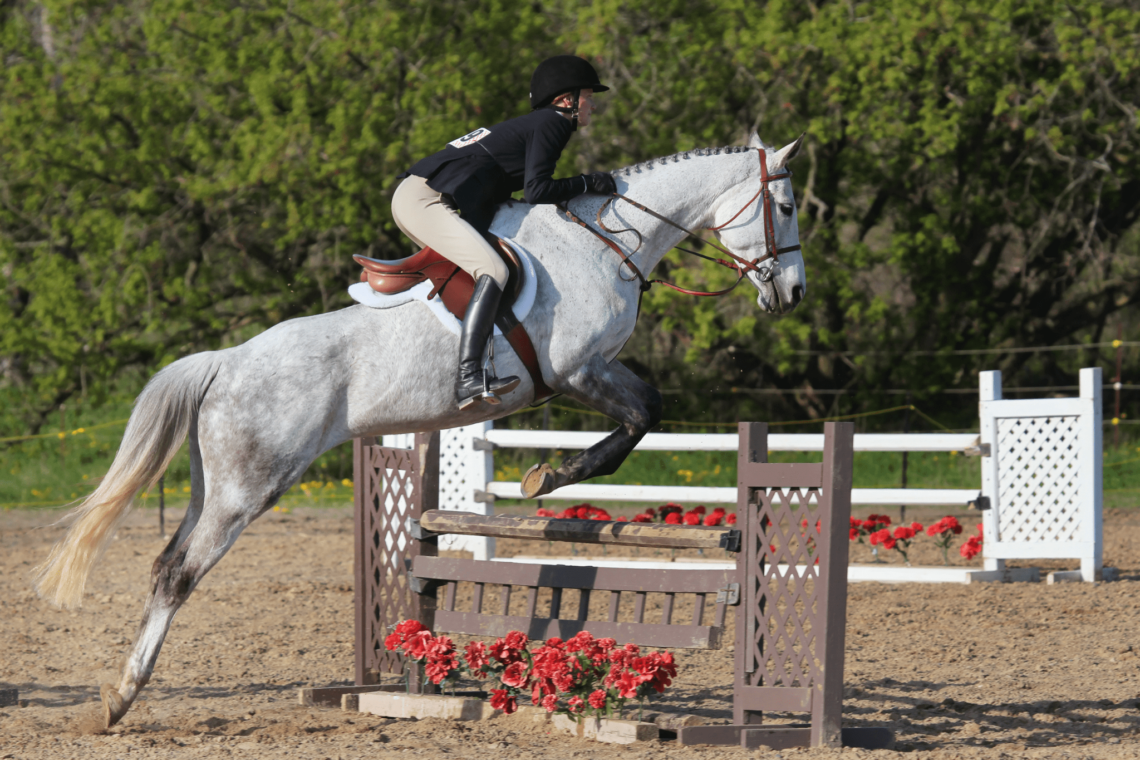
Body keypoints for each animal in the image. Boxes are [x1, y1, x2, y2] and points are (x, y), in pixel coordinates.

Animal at [33, 130, 805, 728]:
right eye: (789, 206)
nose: (792, 294)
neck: (605, 239)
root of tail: (224, 361)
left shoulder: (592, 371)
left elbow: (646, 412)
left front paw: (549, 477)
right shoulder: (577, 370)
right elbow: (644, 416)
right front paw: (549, 476)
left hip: (211, 485)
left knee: (167, 561)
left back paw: (121, 690)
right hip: (247, 489)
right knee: (180, 573)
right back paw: (120, 698)